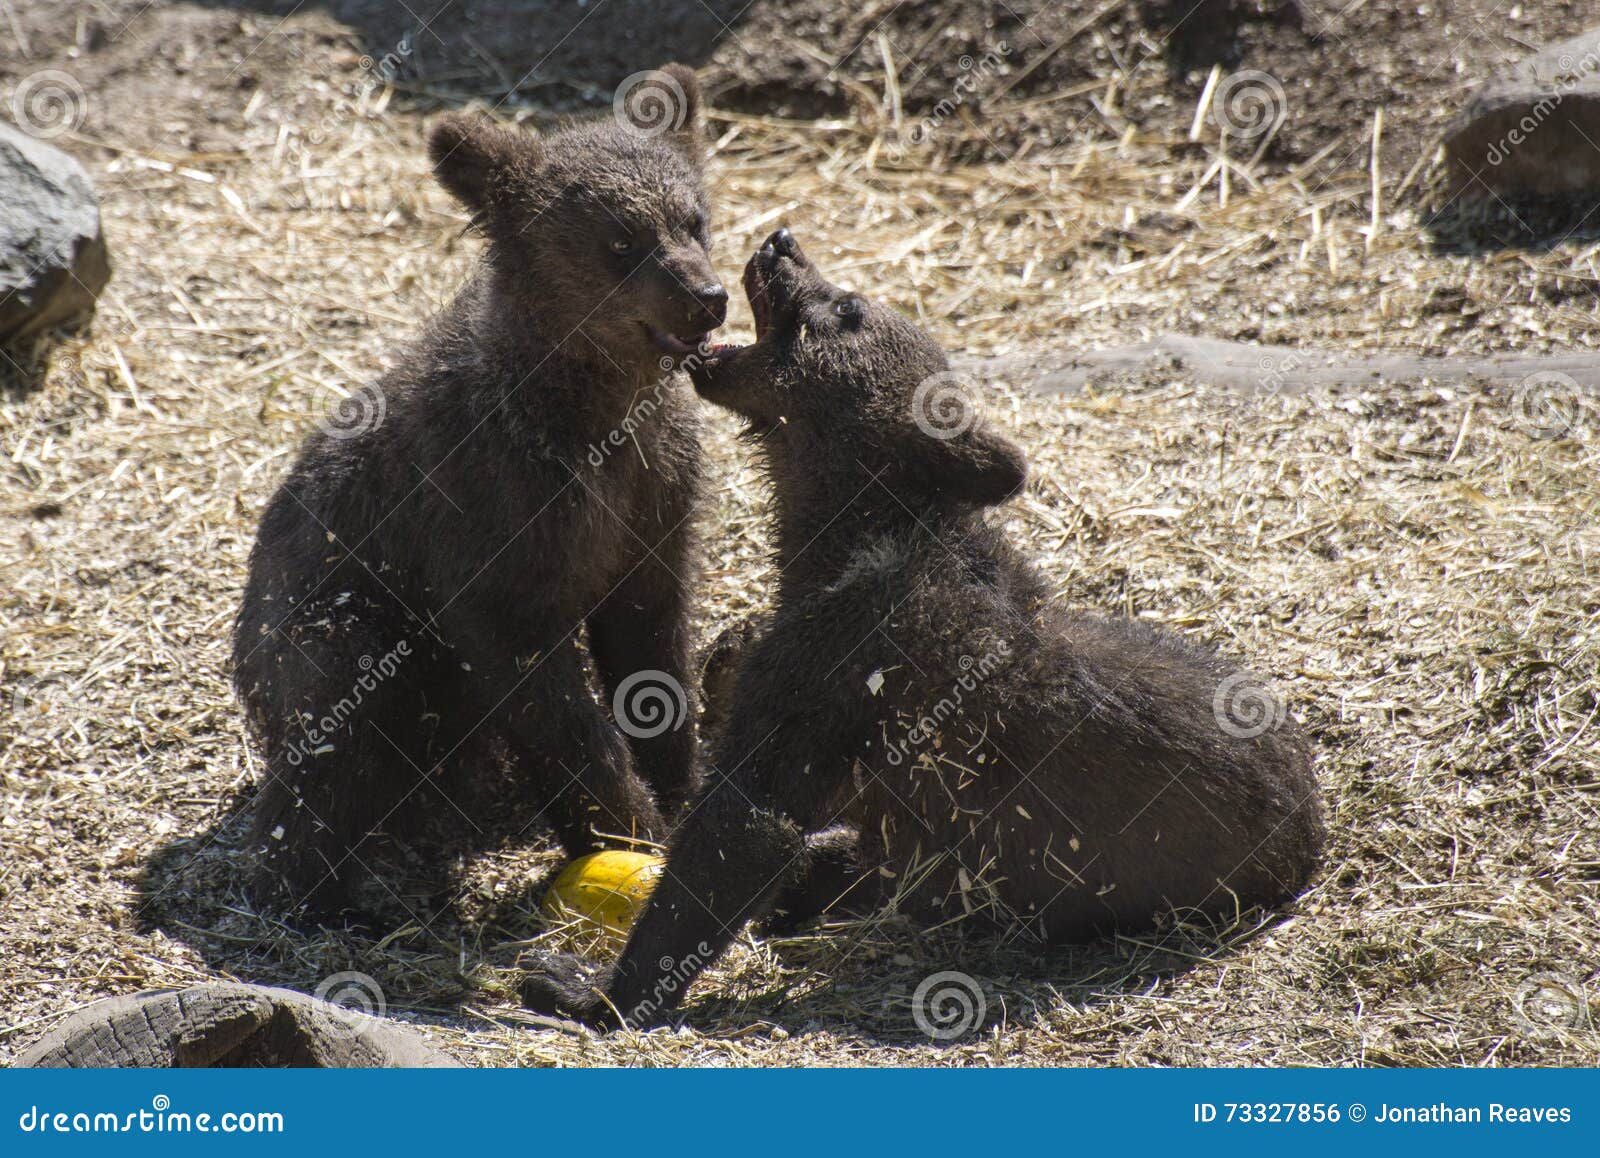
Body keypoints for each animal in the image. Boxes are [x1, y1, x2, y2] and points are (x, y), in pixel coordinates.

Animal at [231, 64, 725, 920]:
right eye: (620, 242)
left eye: (692, 219)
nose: (706, 297)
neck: (594, 415)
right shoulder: (488, 526)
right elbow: (550, 700)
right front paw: (626, 829)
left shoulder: (652, 503)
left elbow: (653, 647)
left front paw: (679, 790)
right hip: (327, 619)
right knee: (335, 726)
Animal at [520, 227, 1327, 1027]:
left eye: (847, 308)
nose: (780, 241)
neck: (845, 533)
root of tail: (1312, 835)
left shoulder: (829, 670)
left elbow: (747, 822)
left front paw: (592, 991)